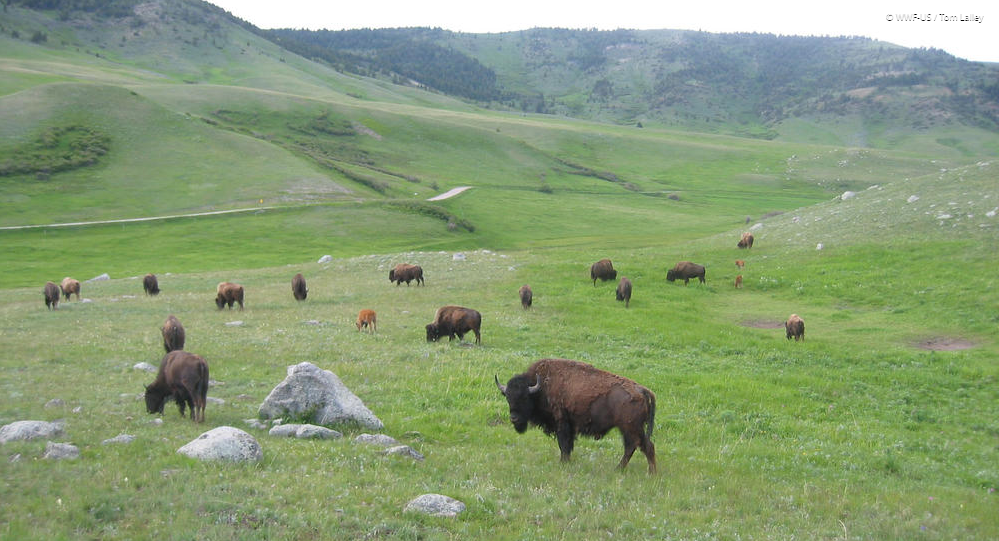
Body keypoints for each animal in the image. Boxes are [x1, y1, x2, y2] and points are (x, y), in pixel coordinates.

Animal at [495, 358, 657, 474]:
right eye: (508, 397)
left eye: (524, 398)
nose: (514, 418)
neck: (540, 387)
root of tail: (642, 390)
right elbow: (568, 445)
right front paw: (567, 461)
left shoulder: (561, 423)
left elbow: (563, 445)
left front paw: (563, 462)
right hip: (632, 429)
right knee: (638, 446)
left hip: (630, 428)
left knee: (640, 446)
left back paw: (645, 472)